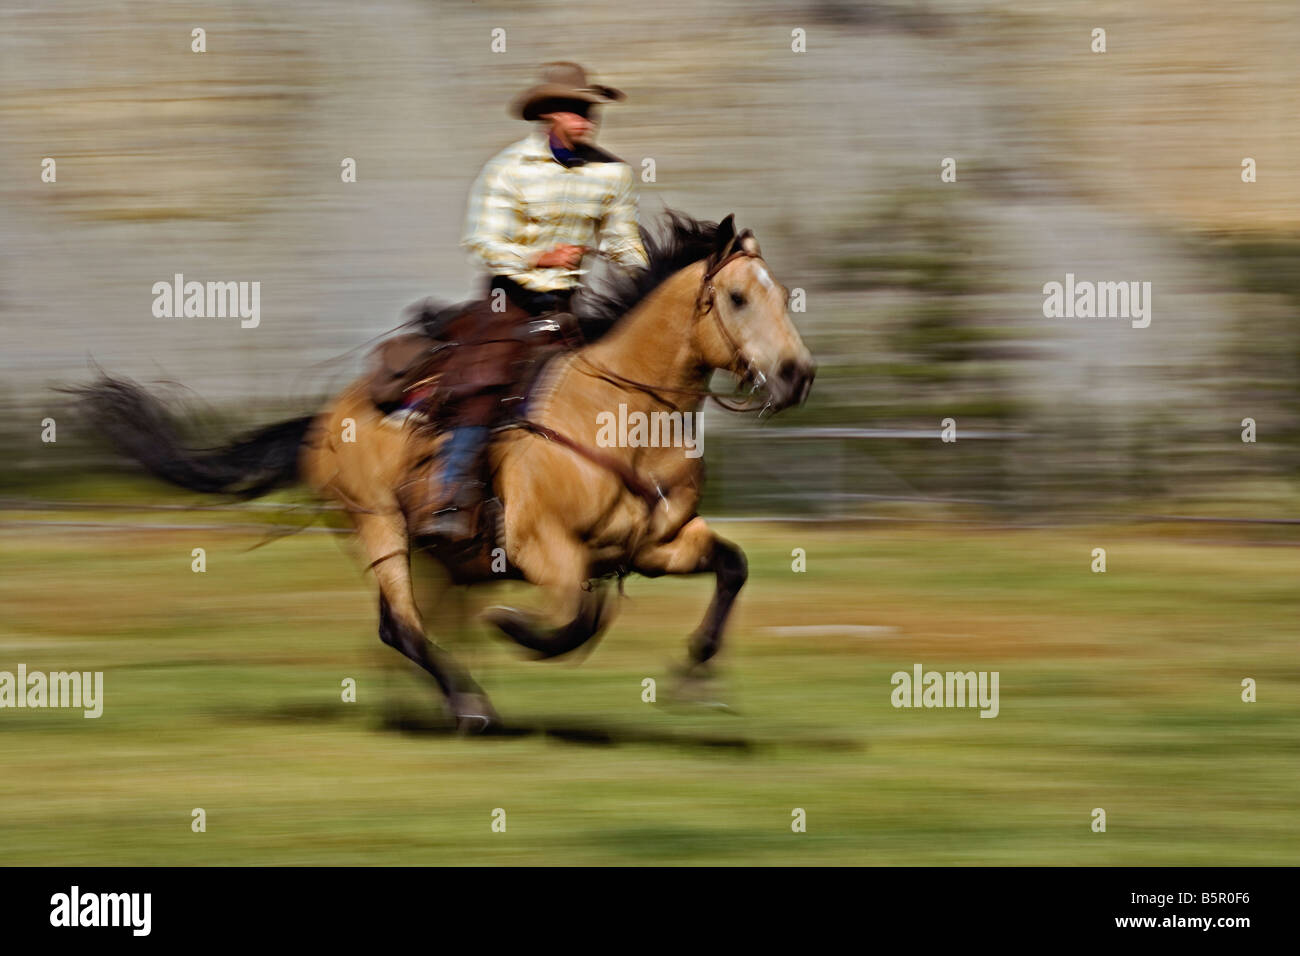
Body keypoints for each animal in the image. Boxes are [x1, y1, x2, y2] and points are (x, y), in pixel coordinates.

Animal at [75, 212, 815, 731]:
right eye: (739, 298)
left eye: (782, 295)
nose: (797, 376)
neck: (620, 419)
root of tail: (324, 419)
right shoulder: (542, 548)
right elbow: (578, 615)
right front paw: (515, 626)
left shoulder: (660, 544)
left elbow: (732, 567)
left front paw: (696, 677)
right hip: (378, 527)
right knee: (401, 625)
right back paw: (468, 706)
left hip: (440, 553)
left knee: (411, 626)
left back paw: (429, 706)